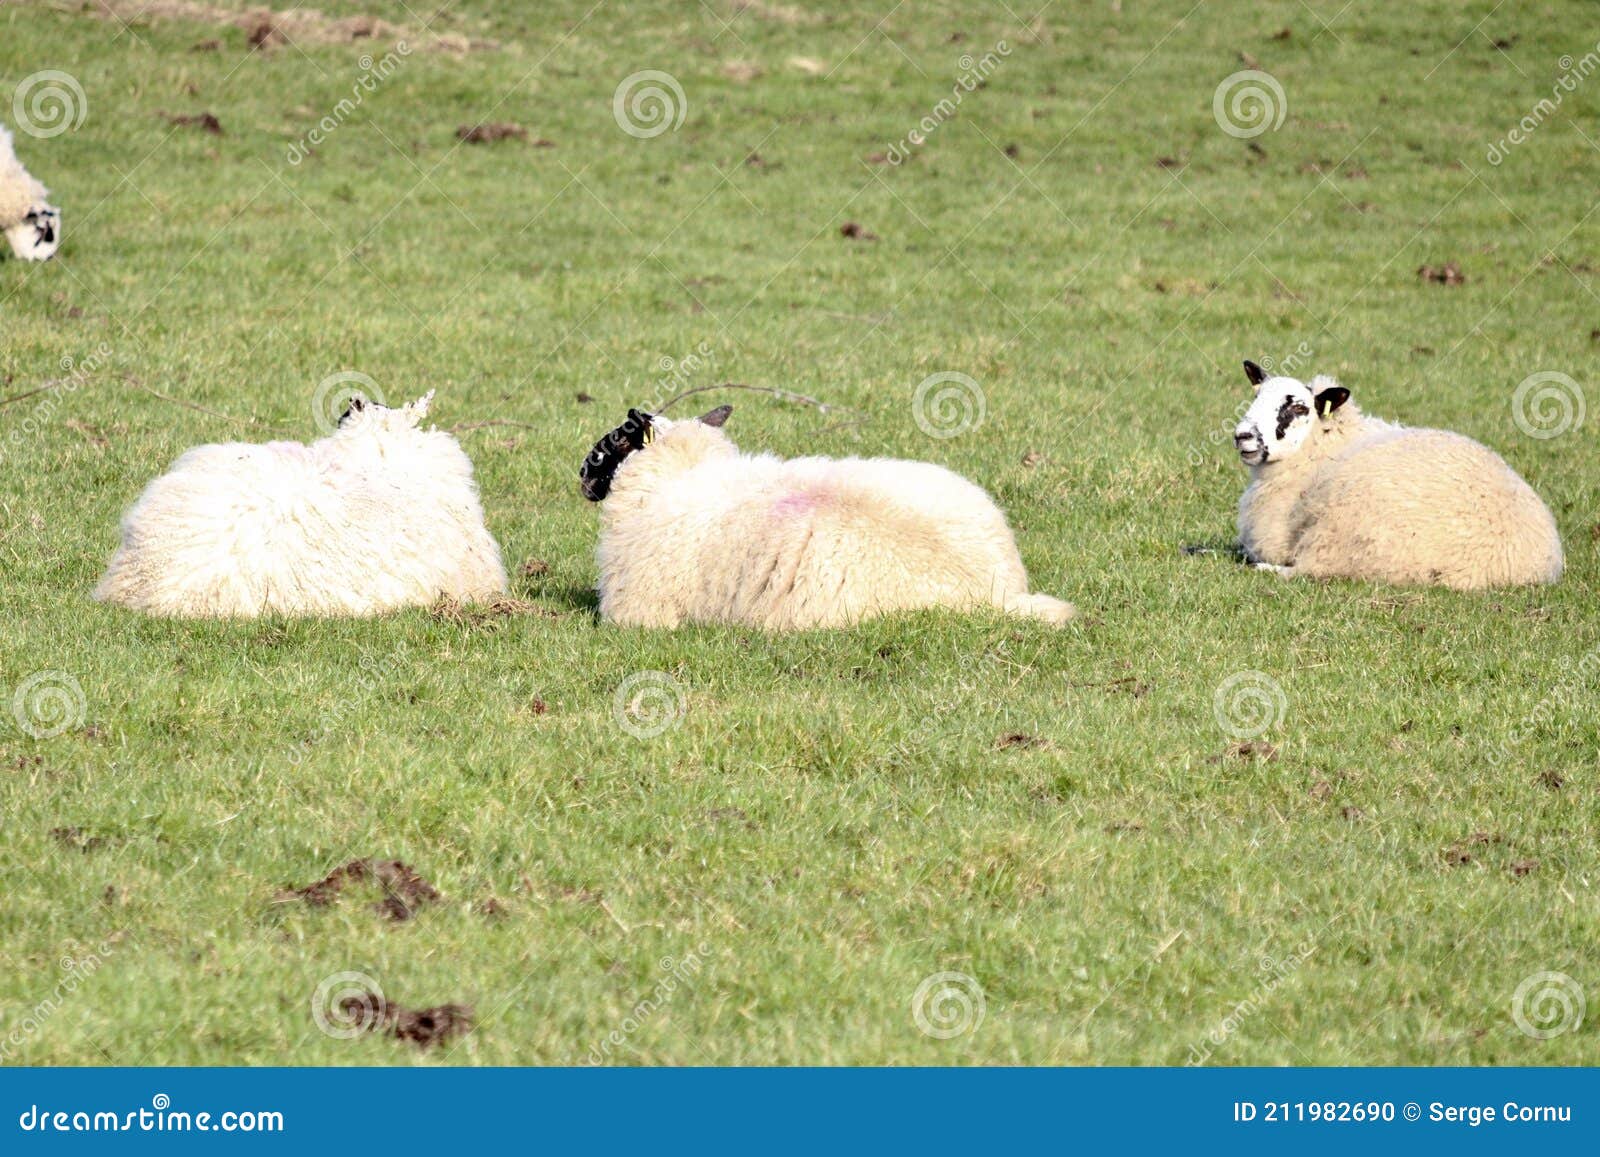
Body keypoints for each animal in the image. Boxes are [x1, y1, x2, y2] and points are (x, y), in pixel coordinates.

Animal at [1232, 361, 1563, 589]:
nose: (1242, 435)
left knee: (1308, 569)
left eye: (1299, 408)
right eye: (1255, 398)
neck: (1323, 447)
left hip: (1343, 537)